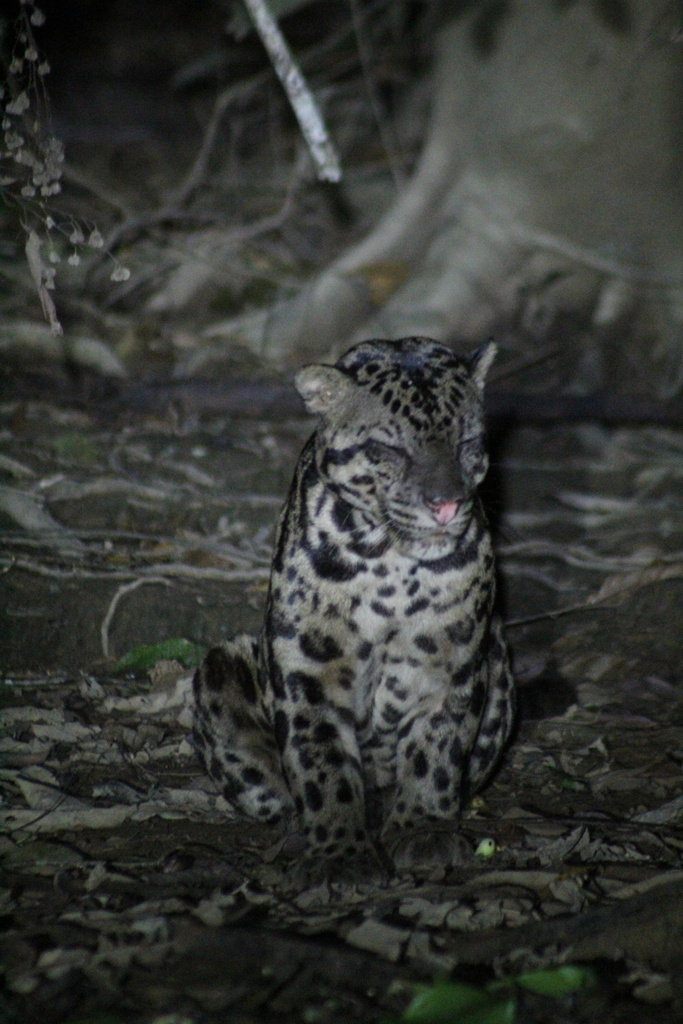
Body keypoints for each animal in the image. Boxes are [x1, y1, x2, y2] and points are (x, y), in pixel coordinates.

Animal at [192, 336, 515, 869]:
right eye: (389, 450)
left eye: (467, 444)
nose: (447, 505)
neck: (391, 564)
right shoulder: (309, 667)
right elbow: (321, 761)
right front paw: (338, 851)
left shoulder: (454, 662)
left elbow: (437, 748)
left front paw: (422, 829)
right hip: (218, 668)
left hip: (500, 662)